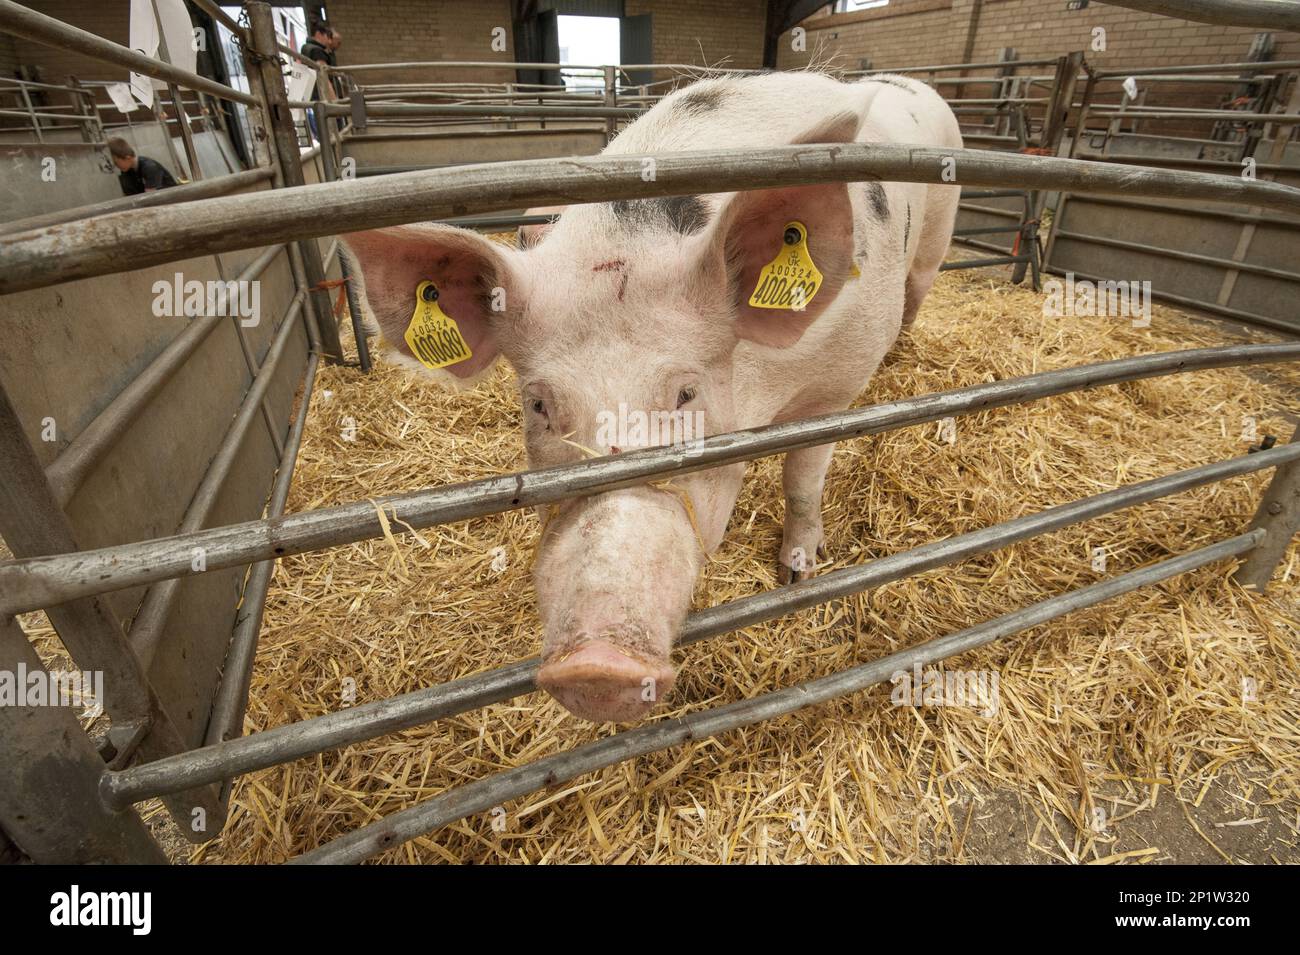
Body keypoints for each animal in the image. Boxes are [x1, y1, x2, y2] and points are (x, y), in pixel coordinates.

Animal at [342, 71, 961, 723]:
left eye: (687, 393)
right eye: (538, 405)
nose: (597, 662)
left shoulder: (836, 385)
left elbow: (802, 480)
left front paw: (797, 576)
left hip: (934, 241)